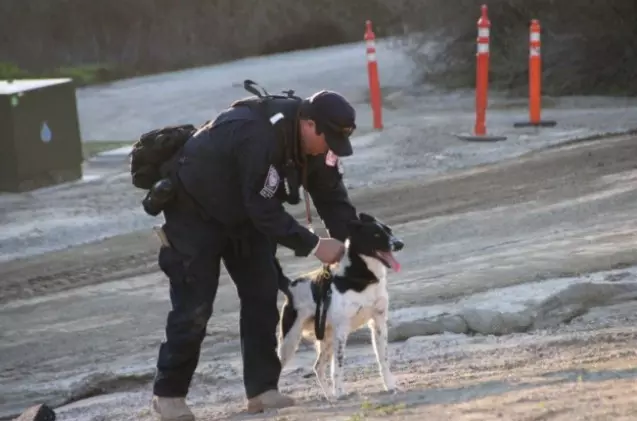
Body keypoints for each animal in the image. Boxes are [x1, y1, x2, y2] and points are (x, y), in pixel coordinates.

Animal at [278, 212, 402, 398]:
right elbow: (338, 366)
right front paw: (340, 391)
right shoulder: (342, 330)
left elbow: (383, 359)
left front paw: (390, 385)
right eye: (376, 235)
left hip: (326, 337)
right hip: (289, 341)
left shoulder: (378, 323)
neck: (362, 277)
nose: (400, 244)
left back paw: (330, 396)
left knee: (318, 367)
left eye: (389, 230)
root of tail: (290, 286)